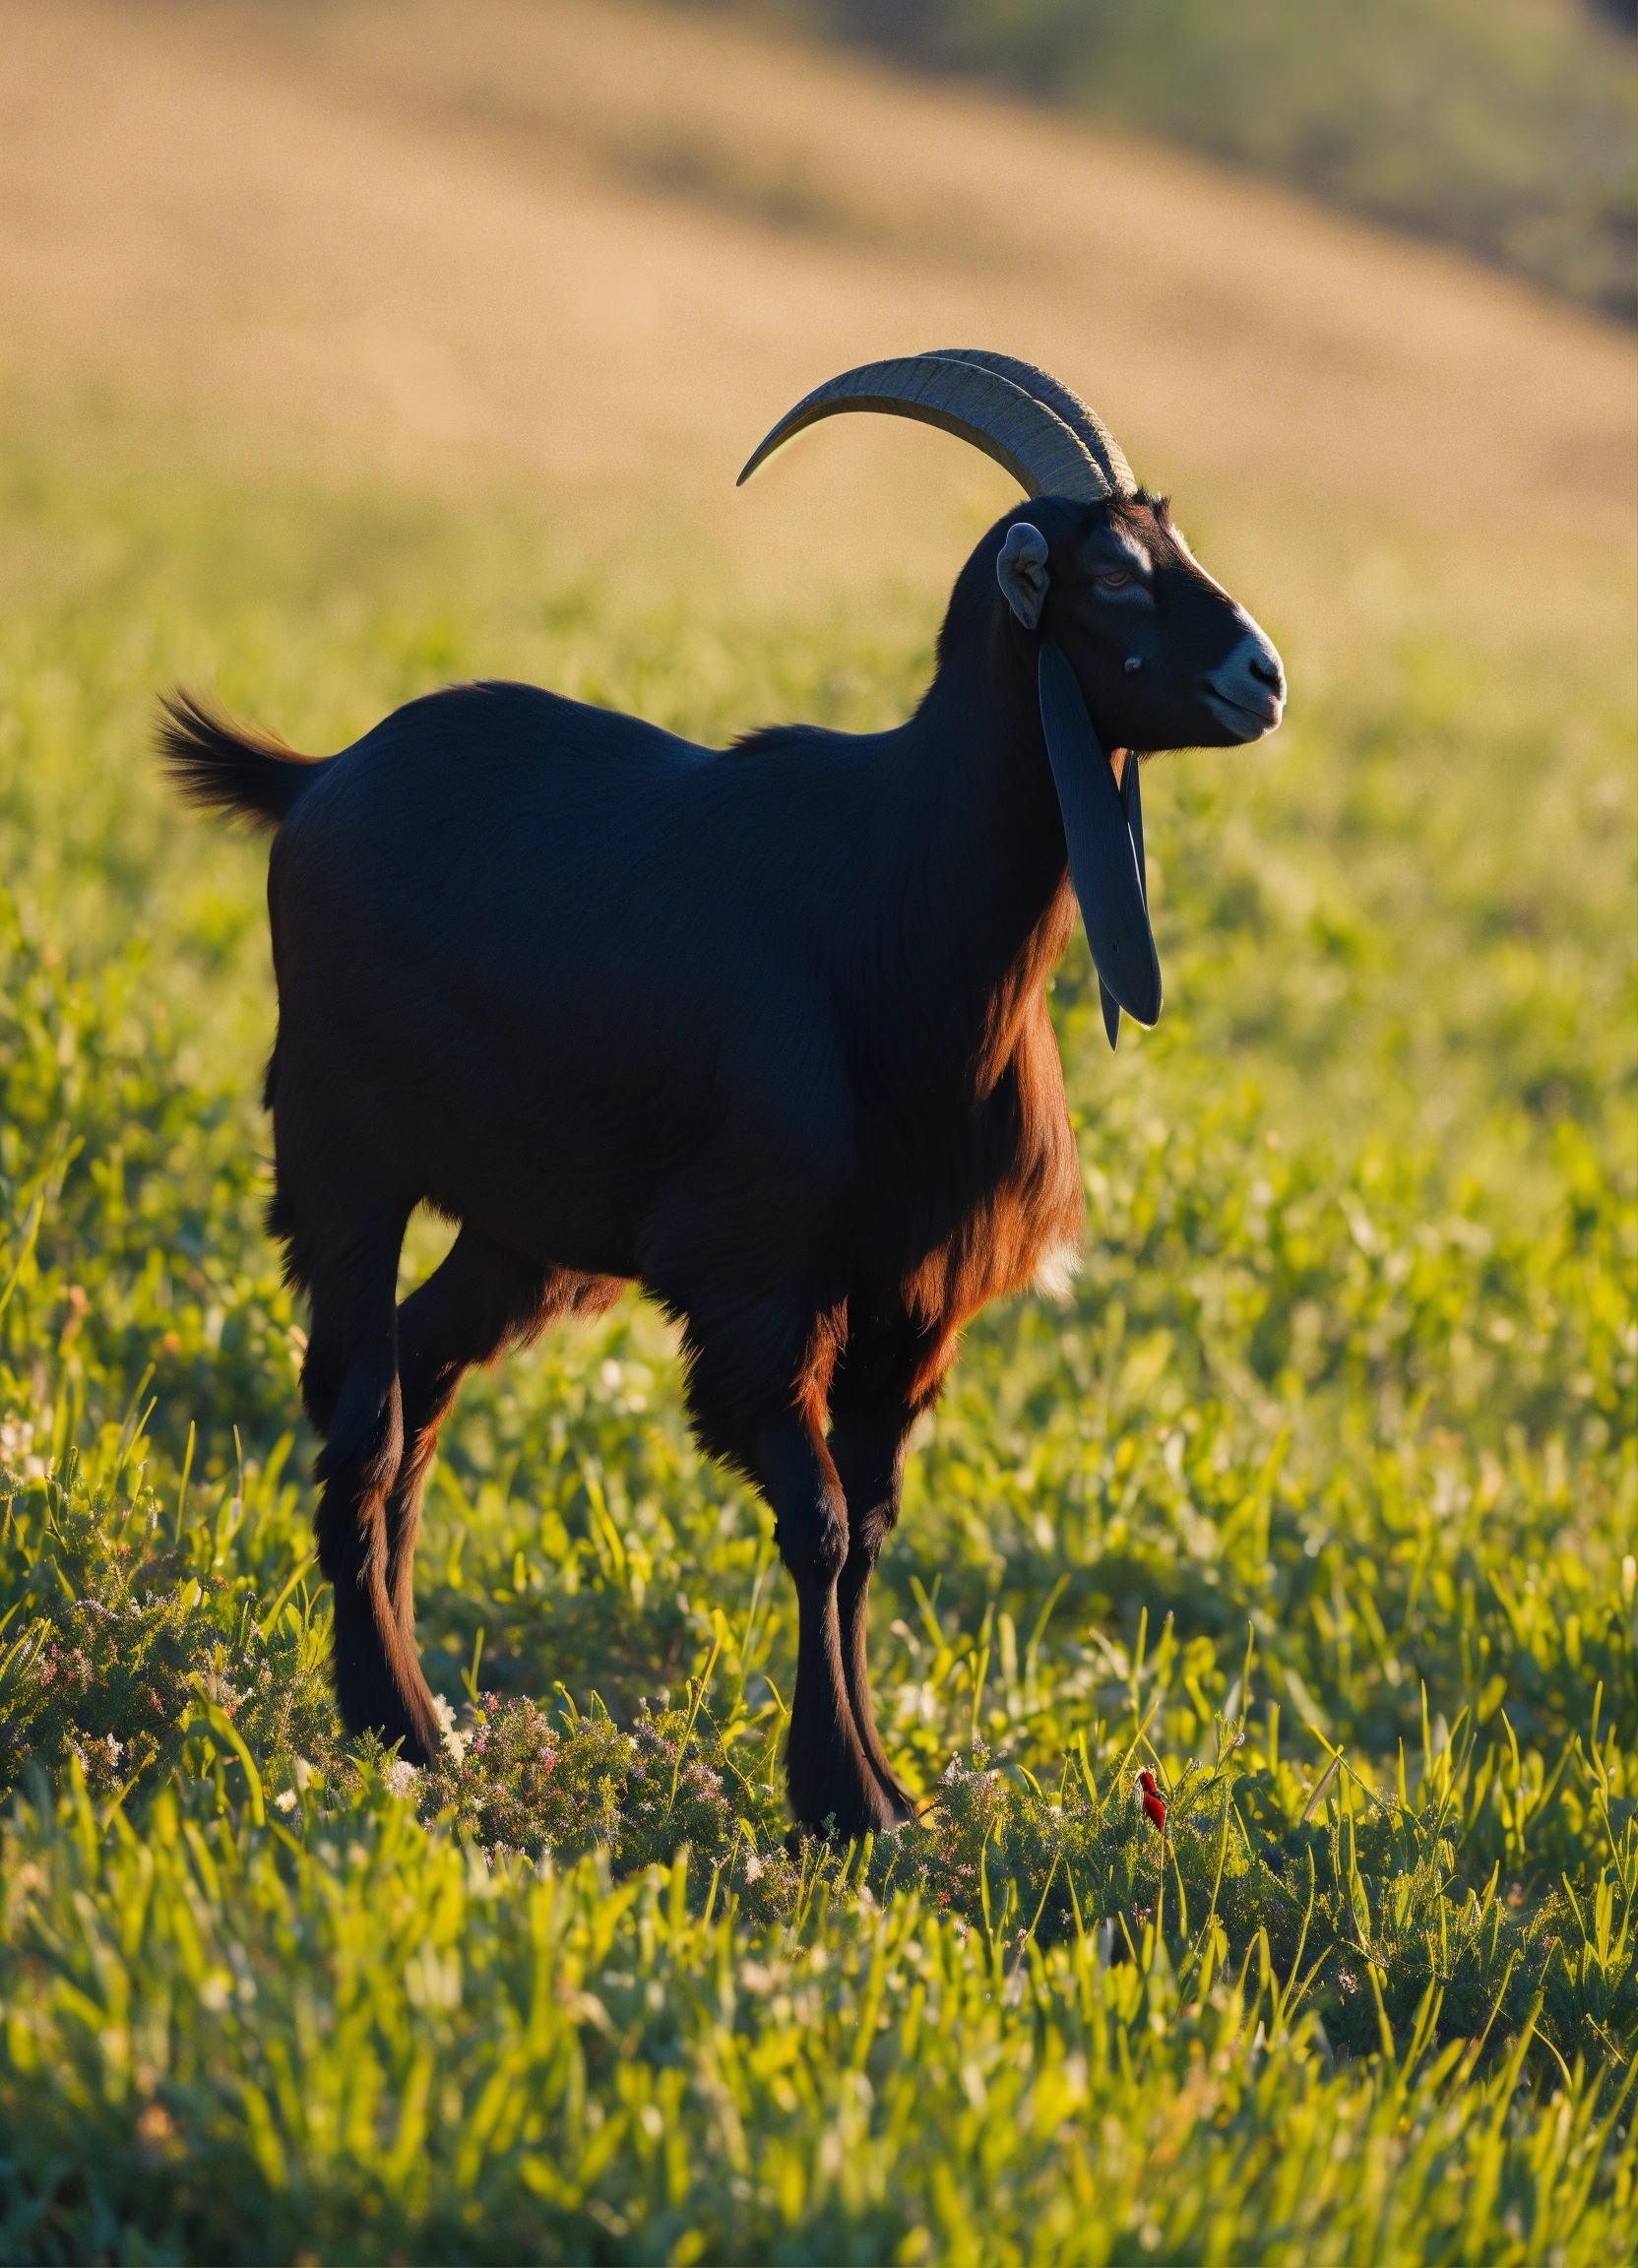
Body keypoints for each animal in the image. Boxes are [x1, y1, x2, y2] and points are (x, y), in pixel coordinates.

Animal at [159, 352, 1285, 1837]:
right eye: (1110, 577)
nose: (1263, 675)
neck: (898, 907)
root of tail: (320, 776)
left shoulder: (910, 1293)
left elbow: (868, 1532)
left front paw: (886, 1789)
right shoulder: (762, 1275)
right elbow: (815, 1524)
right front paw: (838, 1798)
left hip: (521, 1228)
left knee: (416, 1381)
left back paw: (417, 1713)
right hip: (343, 1149)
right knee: (364, 1412)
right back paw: (390, 1713)